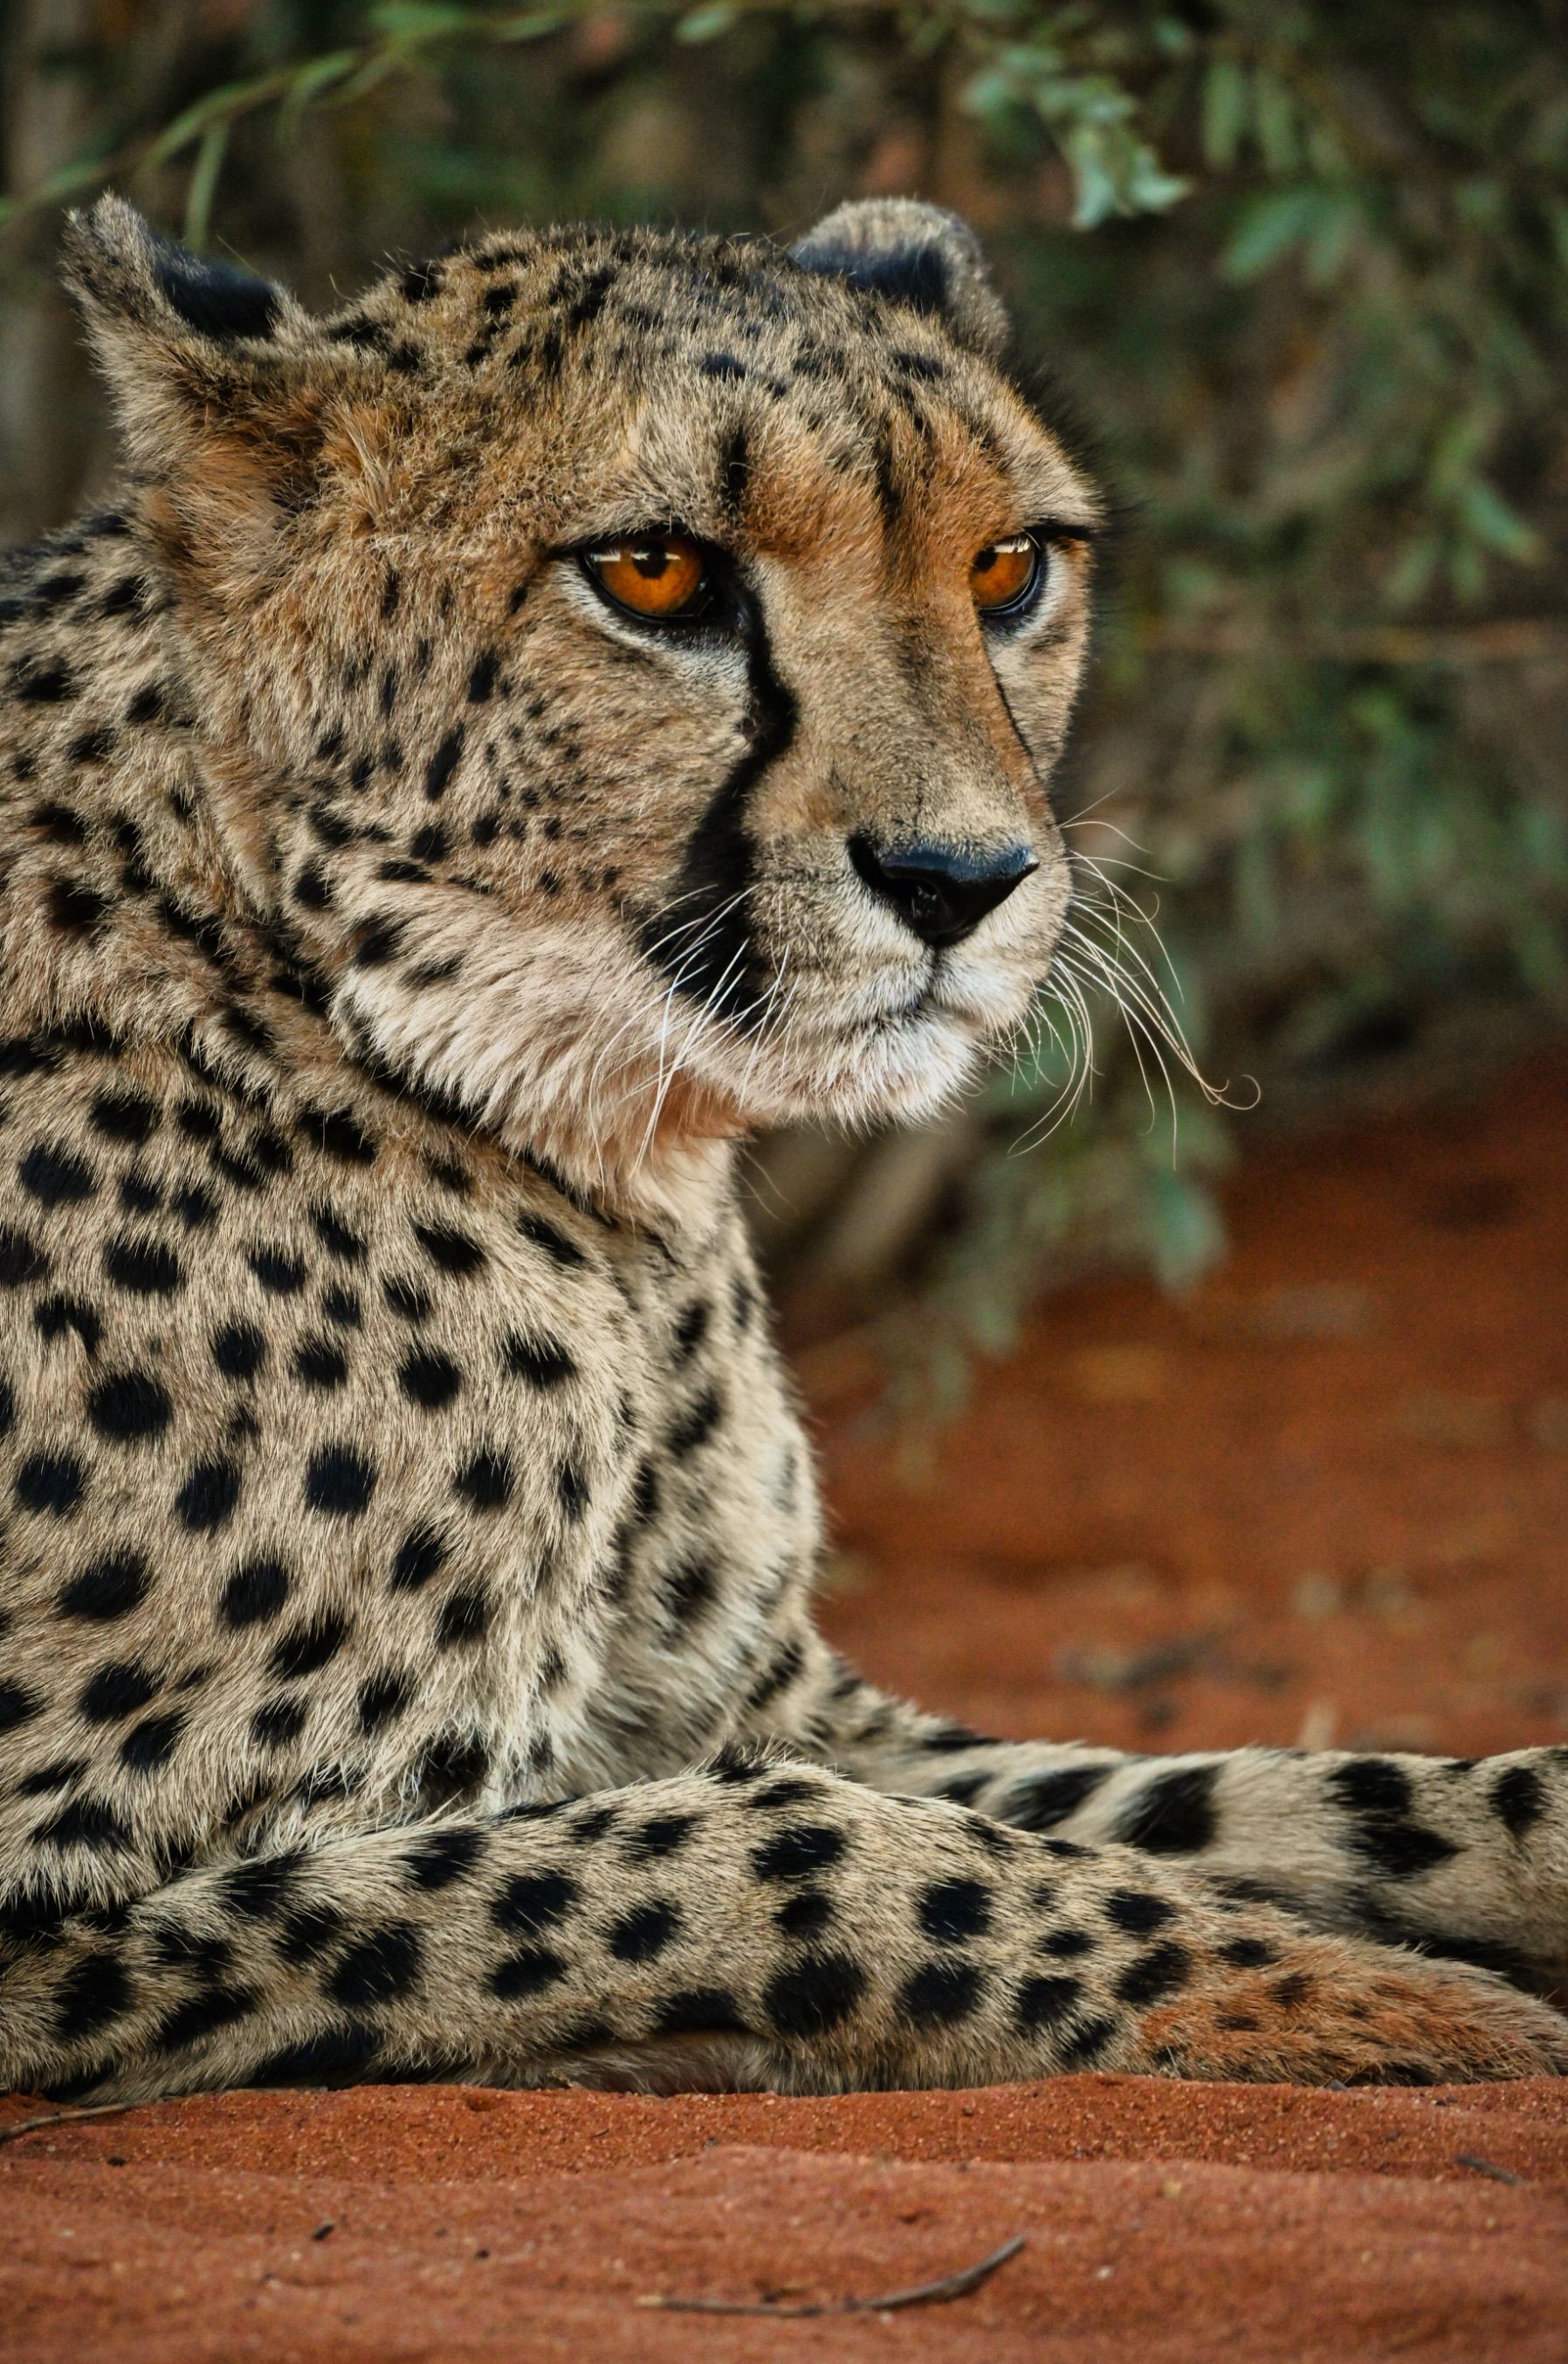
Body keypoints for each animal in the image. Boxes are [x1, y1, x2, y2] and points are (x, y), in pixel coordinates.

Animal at [0, 192, 1563, 2109]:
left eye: (1007, 567)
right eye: (657, 574)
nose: (963, 881)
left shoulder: (772, 1701)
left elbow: (1257, 1789)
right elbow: (766, 1845)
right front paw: (1339, 1994)